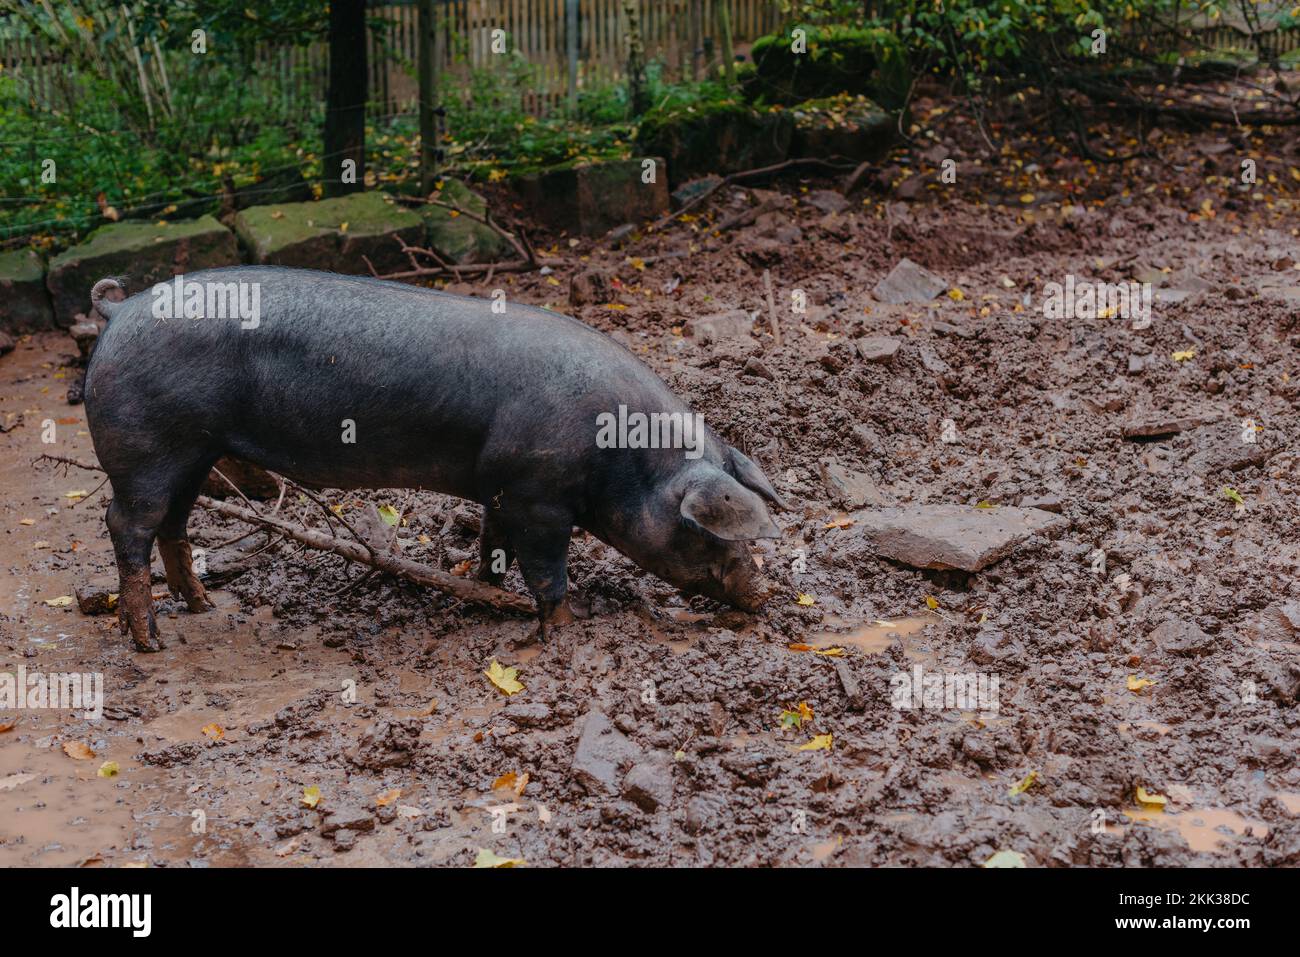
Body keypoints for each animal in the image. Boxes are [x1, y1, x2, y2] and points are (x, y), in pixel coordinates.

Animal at [84, 267, 786, 651]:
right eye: (707, 534)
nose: (763, 595)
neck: (624, 460)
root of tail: (119, 308)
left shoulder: (503, 490)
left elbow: (492, 546)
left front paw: (485, 594)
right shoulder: (539, 497)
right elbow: (545, 569)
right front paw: (562, 631)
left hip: (198, 452)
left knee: (174, 525)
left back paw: (204, 607)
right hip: (146, 446)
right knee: (127, 525)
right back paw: (152, 641)